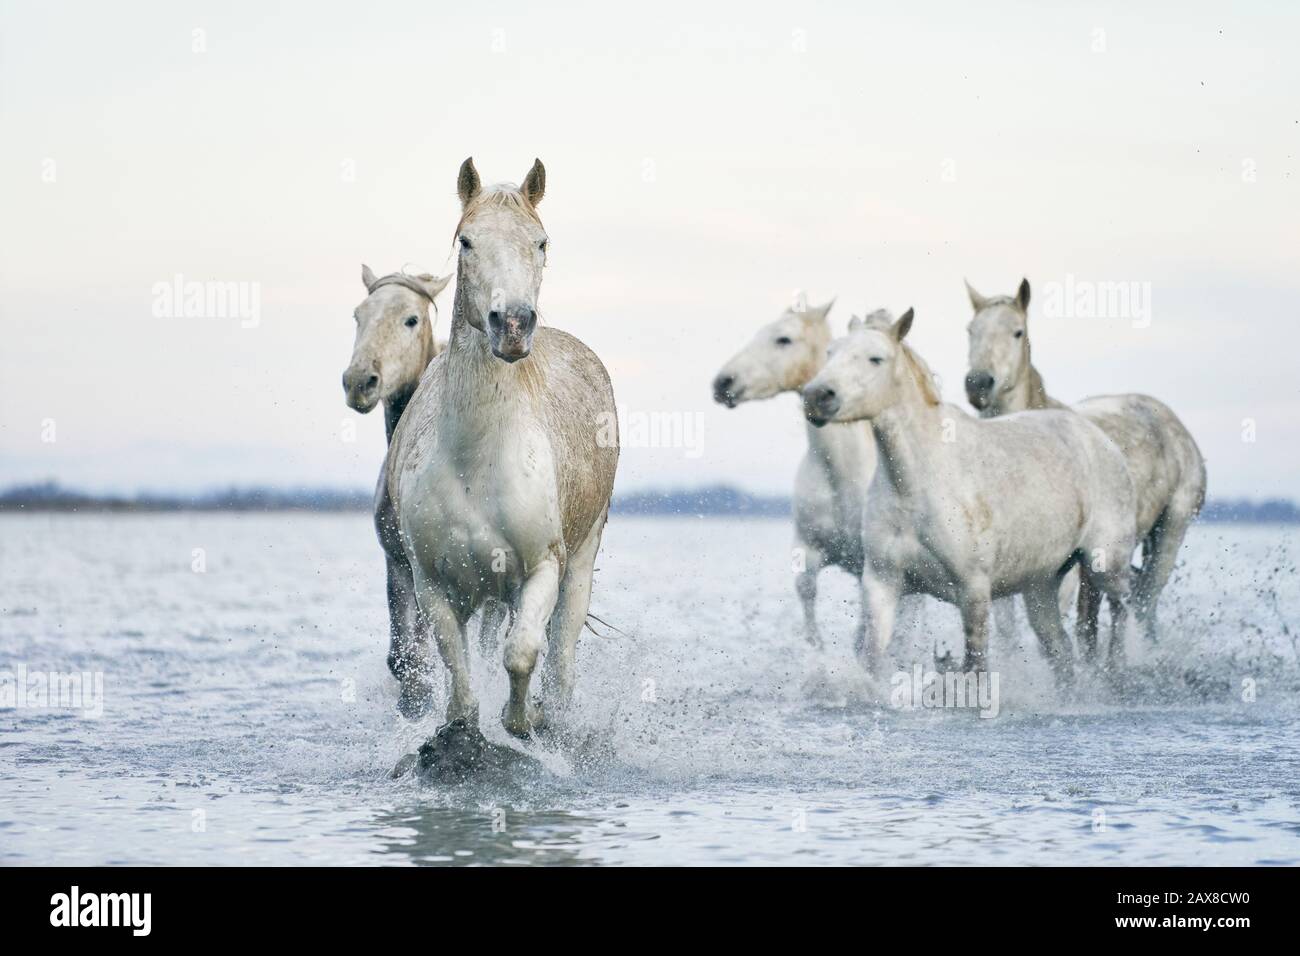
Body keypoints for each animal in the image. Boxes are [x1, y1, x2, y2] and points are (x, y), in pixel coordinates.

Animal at [386, 158, 619, 738]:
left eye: (541, 242)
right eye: (467, 241)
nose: (512, 325)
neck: (477, 463)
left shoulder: (543, 570)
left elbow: (522, 654)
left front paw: (524, 719)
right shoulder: (433, 585)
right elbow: (460, 681)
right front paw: (463, 726)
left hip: (581, 561)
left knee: (561, 655)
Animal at [801, 309, 1139, 683]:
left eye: (876, 359)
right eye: (830, 353)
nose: (816, 396)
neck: (916, 485)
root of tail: (1102, 440)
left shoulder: (974, 590)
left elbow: (976, 666)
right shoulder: (882, 583)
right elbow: (872, 656)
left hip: (1106, 566)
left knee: (1123, 611)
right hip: (1040, 588)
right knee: (1061, 653)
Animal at [963, 279, 1206, 653]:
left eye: (1017, 332)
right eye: (971, 331)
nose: (978, 383)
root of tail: (1174, 424)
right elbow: (1008, 631)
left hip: (1168, 534)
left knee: (1140, 606)